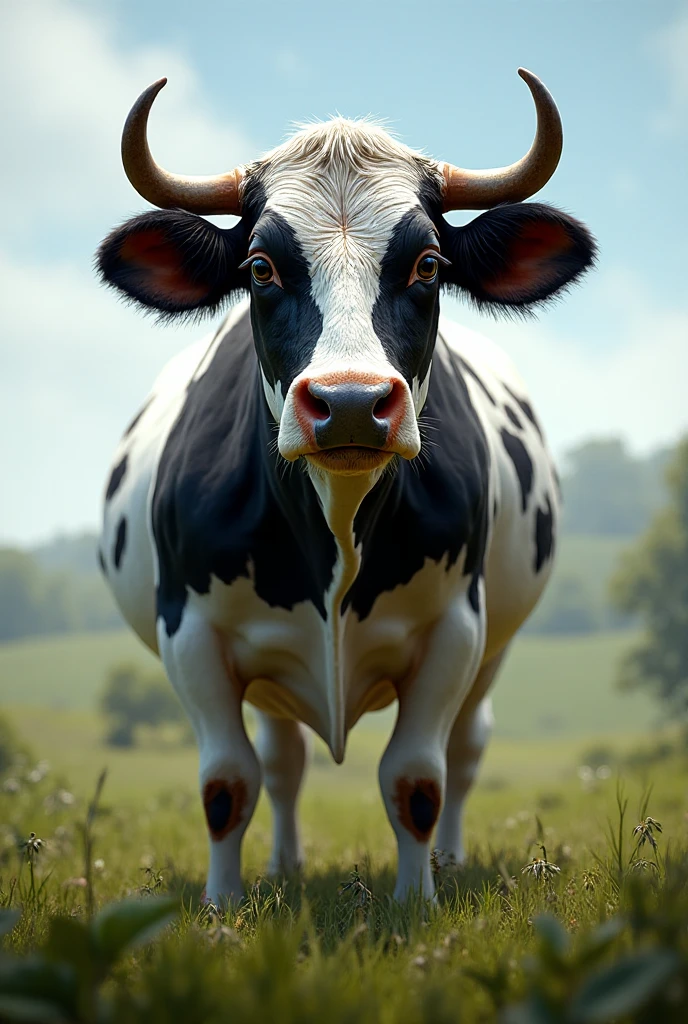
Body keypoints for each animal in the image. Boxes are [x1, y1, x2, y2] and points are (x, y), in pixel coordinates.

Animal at [96, 69, 595, 904]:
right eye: (259, 268)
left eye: (428, 264)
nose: (353, 402)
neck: (336, 526)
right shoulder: (189, 633)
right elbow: (227, 782)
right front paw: (222, 907)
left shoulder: (456, 630)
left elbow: (417, 779)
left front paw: (417, 902)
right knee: (282, 763)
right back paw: (284, 865)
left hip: (493, 649)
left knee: (466, 752)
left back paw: (448, 862)